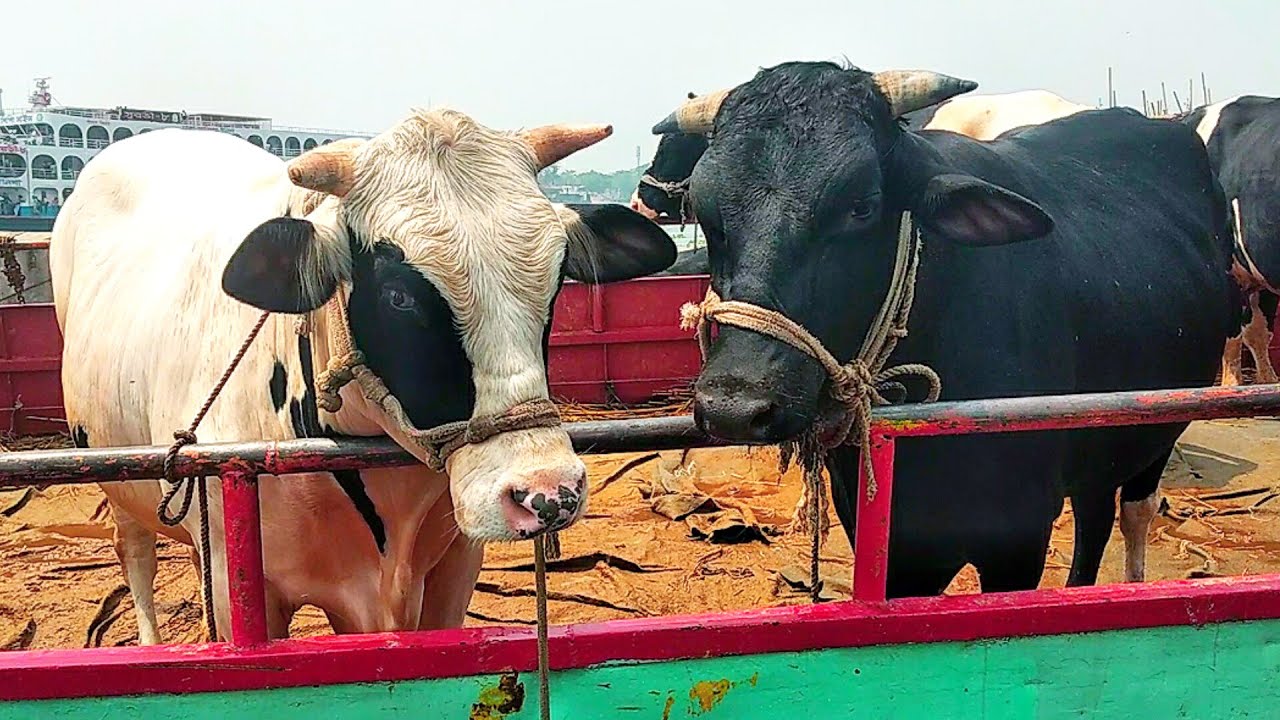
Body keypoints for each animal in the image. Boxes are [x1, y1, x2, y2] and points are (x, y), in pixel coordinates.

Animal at [50, 111, 677, 644]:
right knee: (134, 553)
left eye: (556, 277)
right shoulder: (239, 595)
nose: (547, 492)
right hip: (115, 472)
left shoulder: (452, 569)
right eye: (398, 295)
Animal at [651, 61, 1236, 597]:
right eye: (705, 212)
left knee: (1133, 511)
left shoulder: (1018, 539)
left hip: (1157, 430)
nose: (735, 406)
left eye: (862, 205)